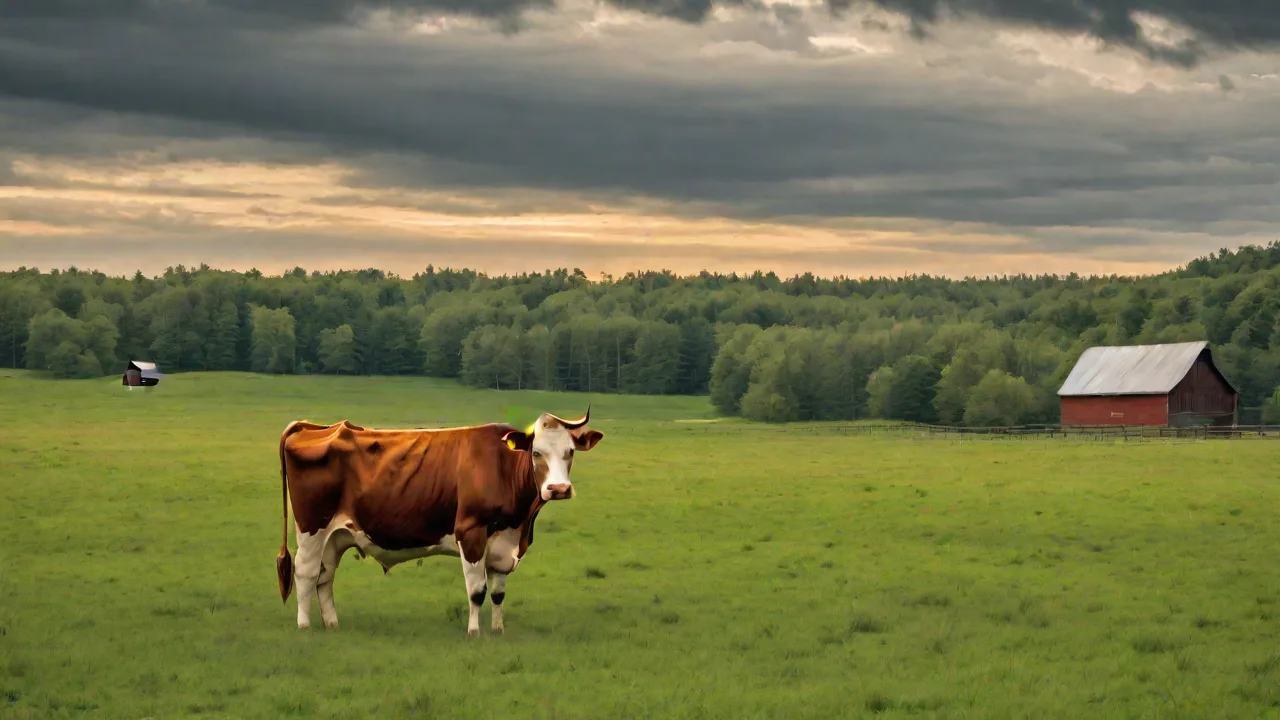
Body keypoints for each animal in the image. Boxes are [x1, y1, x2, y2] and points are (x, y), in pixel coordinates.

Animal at [273, 408, 604, 636]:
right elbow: (477, 590)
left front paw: (498, 629)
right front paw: (474, 632)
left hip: (335, 535)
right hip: (312, 528)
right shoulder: (470, 532)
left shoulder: (504, 542)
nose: (558, 489)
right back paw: (304, 625)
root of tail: (314, 427)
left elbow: (498, 593)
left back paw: (332, 624)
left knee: (324, 576)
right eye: (536, 452)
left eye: (570, 452)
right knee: (305, 573)